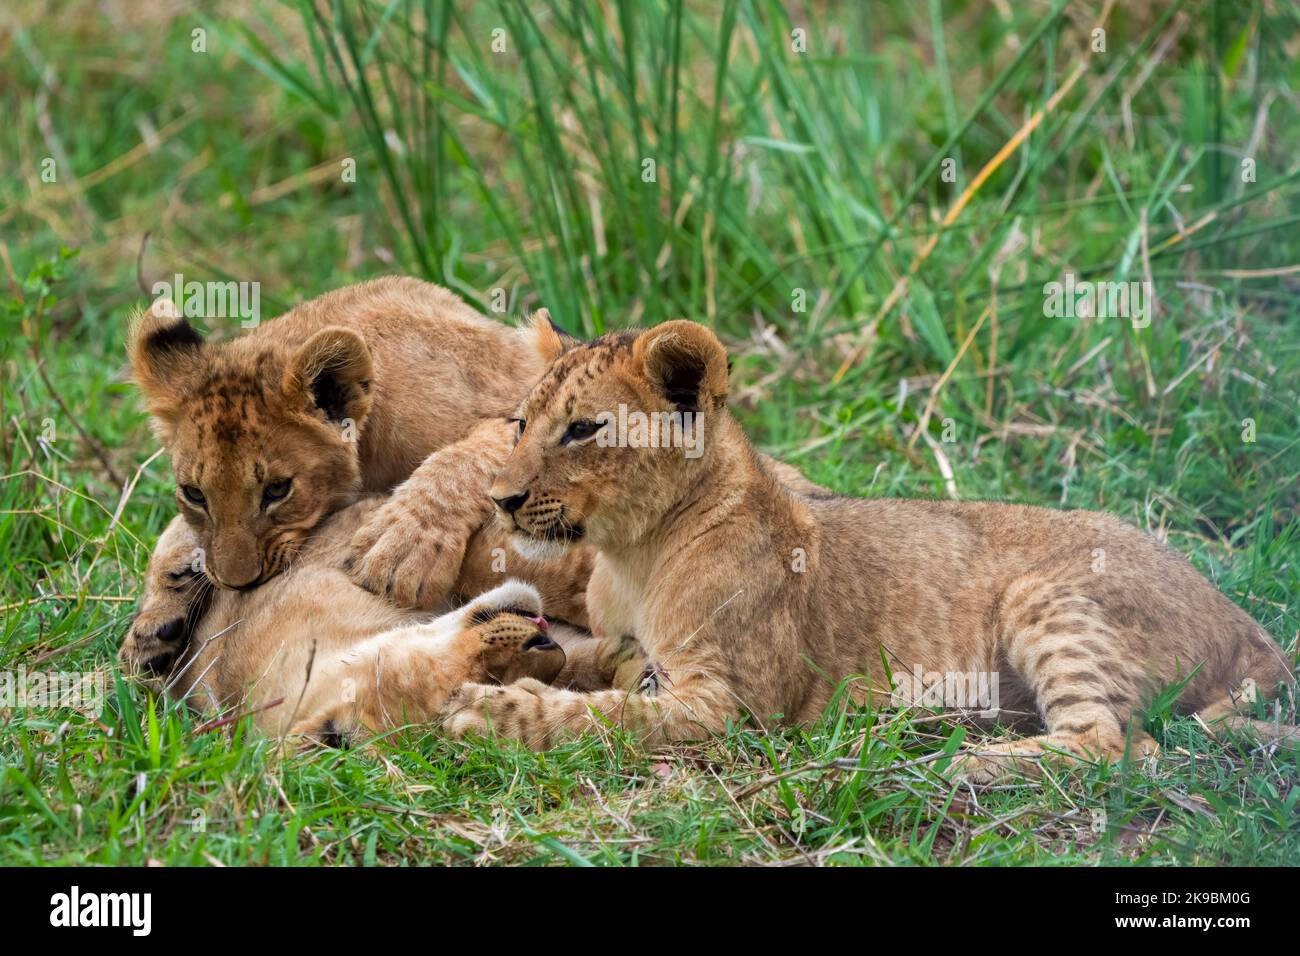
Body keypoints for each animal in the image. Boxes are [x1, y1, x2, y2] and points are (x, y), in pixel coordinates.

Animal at [442, 319, 1297, 783]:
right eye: (521, 423)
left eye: (584, 430)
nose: (502, 499)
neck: (633, 555)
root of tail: (1253, 632)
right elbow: (594, 677)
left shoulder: (730, 710)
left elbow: (606, 717)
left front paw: (487, 709)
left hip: (1045, 597)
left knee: (1119, 744)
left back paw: (956, 761)